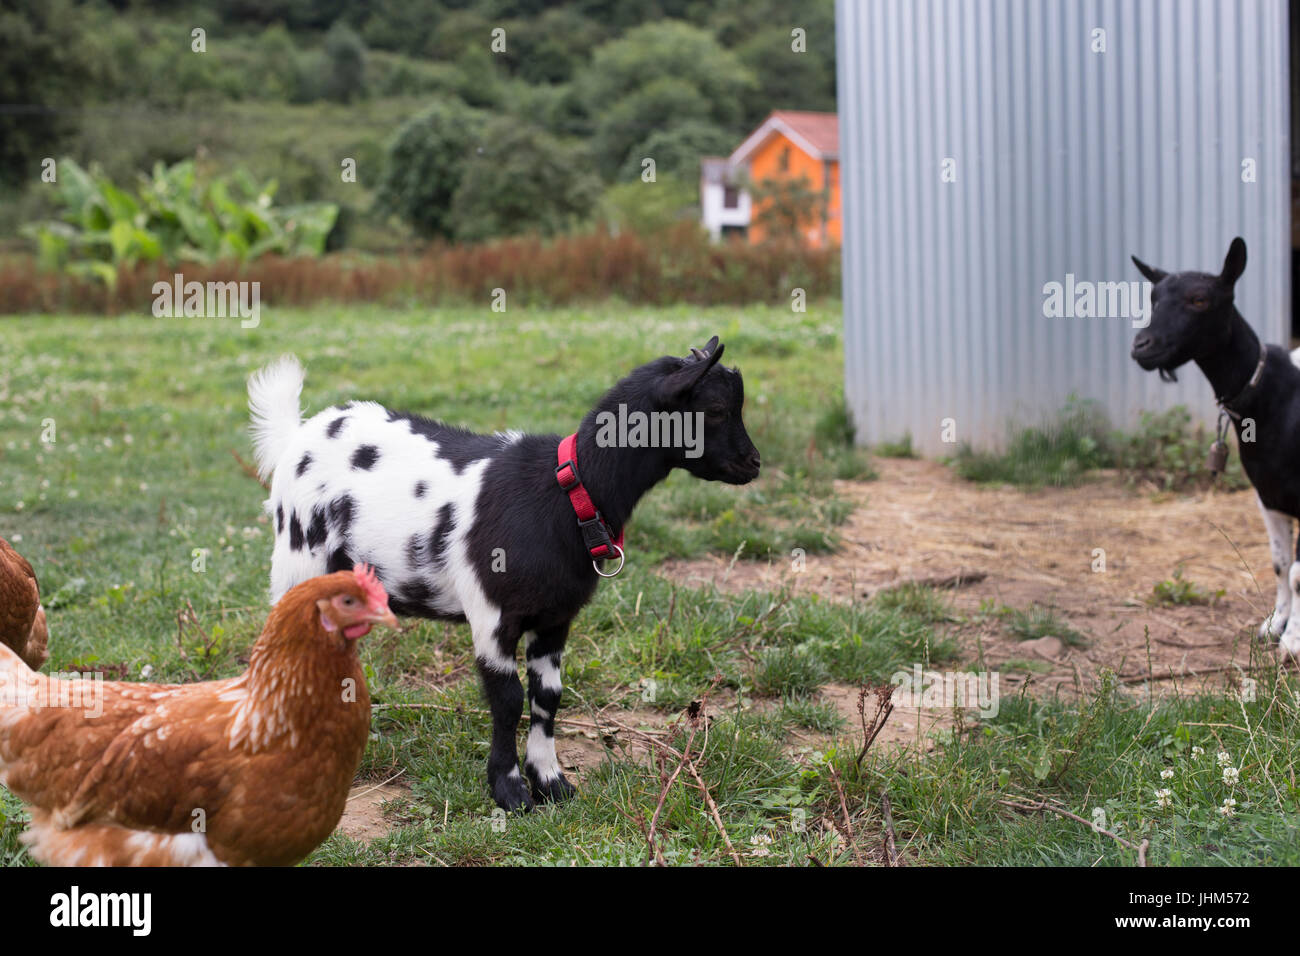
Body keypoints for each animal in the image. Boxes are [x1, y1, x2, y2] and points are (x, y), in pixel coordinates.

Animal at [247, 337, 761, 810]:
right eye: (716, 409)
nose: (753, 463)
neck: (565, 490)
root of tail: (299, 434)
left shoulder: (556, 618)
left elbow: (547, 695)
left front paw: (551, 782)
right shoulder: (492, 613)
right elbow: (508, 699)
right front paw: (510, 791)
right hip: (297, 562)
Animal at [1131, 237, 1300, 656]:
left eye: (1200, 299)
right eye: (1154, 297)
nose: (1141, 346)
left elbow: (1297, 572)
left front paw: (1292, 642)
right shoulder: (1267, 494)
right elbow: (1280, 563)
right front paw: (1274, 625)